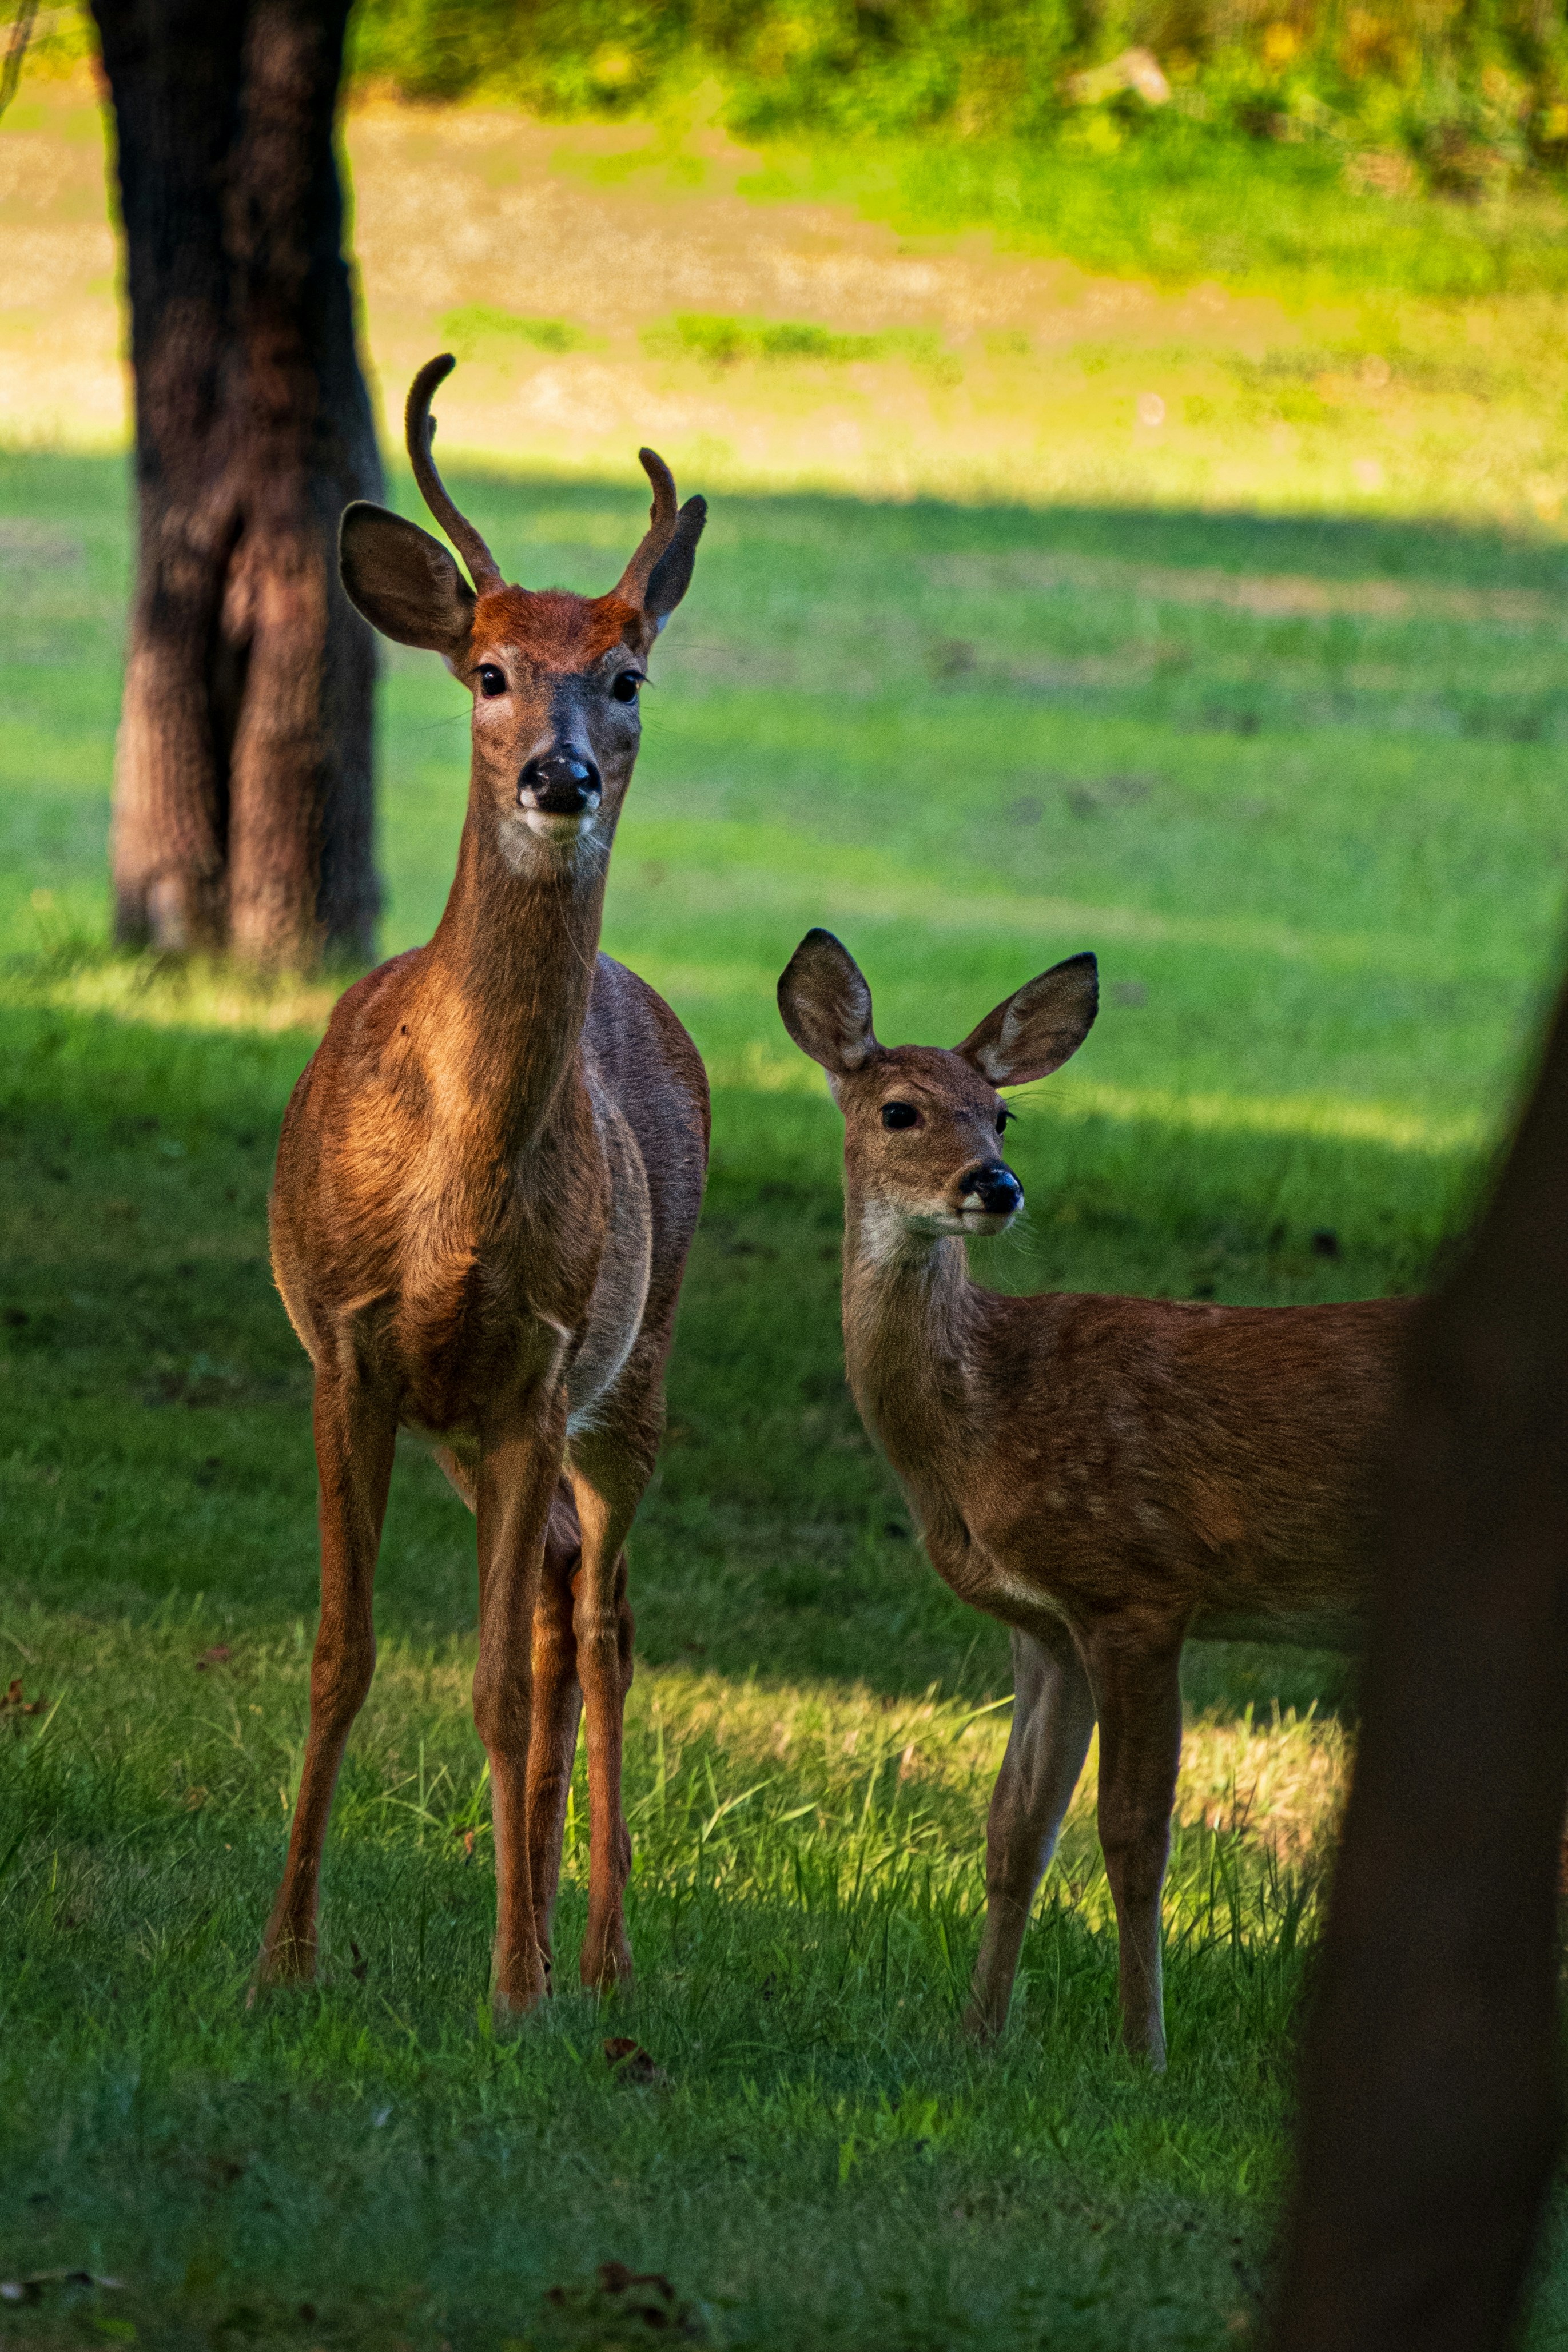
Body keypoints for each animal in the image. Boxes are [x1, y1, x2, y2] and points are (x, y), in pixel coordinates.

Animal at [253, 355, 709, 2021]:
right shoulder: (348, 1351)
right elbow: (341, 1652)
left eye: (627, 678)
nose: (556, 776)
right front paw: (283, 1958)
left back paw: (600, 1952)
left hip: (634, 1368)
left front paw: (510, 1990)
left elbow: (504, 1683)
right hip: (470, 1426)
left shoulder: (536, 1373)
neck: (447, 1204)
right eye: (489, 669)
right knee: (569, 1596)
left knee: (605, 1623)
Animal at [777, 927, 1415, 2068]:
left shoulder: (1138, 1586)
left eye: (1002, 1113)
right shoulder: (1042, 1623)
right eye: (898, 1109)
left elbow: (1132, 1833)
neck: (987, 1411)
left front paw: (1143, 2050)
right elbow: (1014, 1828)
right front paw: (977, 2034)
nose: (995, 1185)